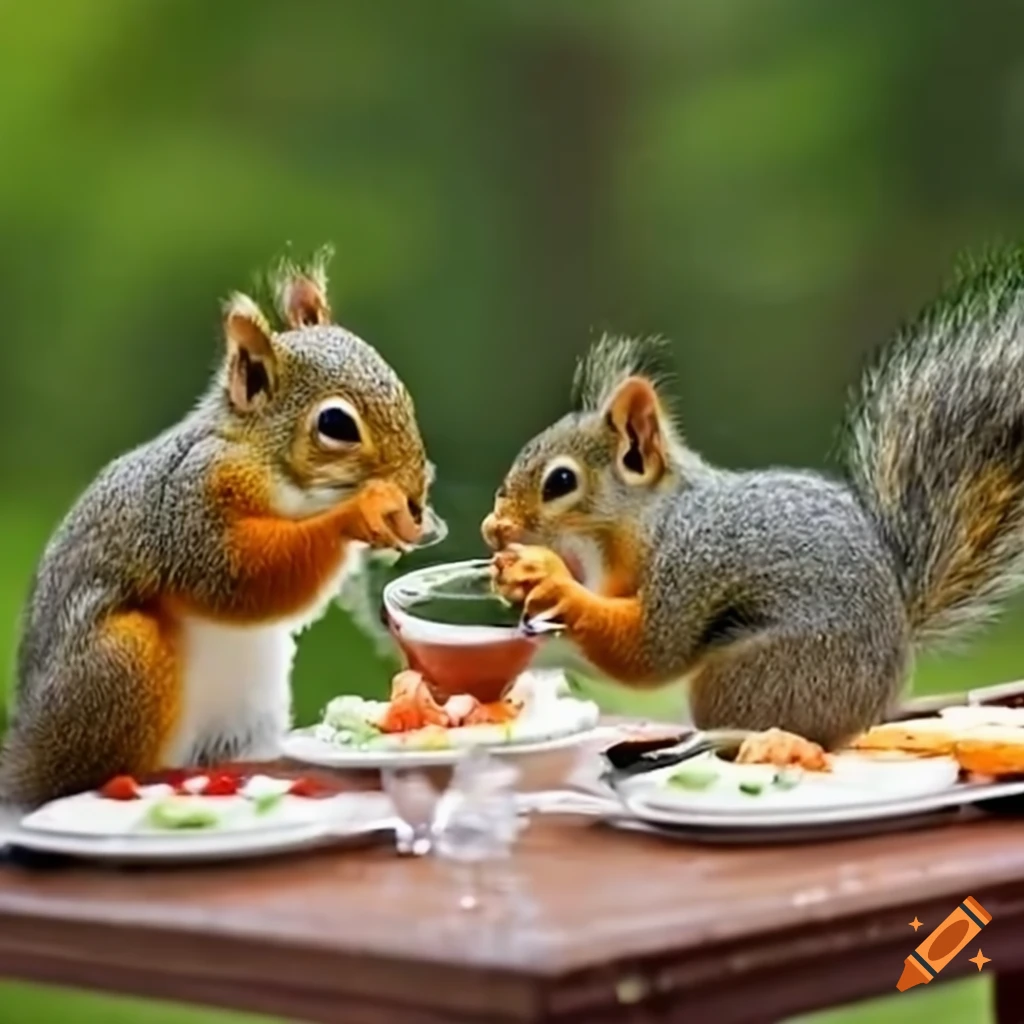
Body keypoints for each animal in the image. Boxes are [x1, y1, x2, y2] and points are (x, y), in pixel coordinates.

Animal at [0, 246, 444, 807]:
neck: (265, 459)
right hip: (122, 660)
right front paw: (360, 512)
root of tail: (26, 761)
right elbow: (235, 575)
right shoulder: (193, 501)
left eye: (400, 391)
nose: (414, 494)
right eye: (336, 425)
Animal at [483, 248, 1024, 750]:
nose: (494, 528)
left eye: (560, 482)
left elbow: (650, 652)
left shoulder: (692, 563)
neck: (653, 520)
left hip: (761, 675)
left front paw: (549, 577)